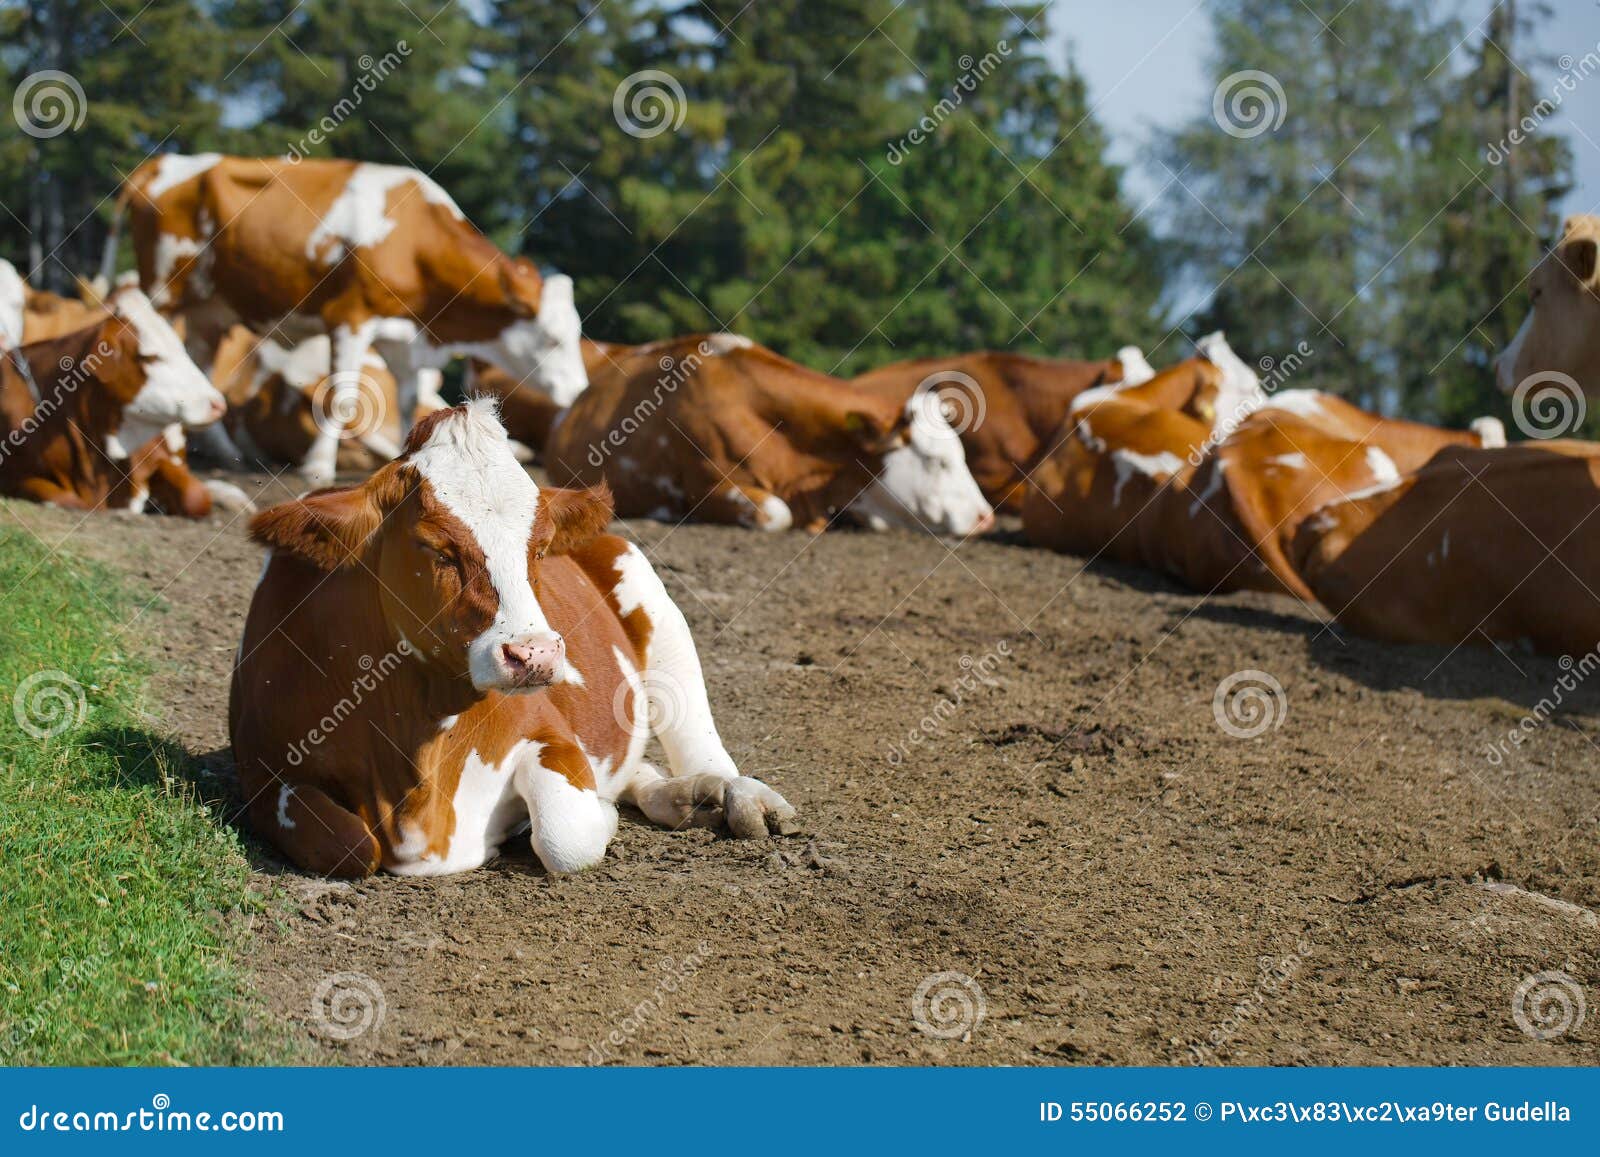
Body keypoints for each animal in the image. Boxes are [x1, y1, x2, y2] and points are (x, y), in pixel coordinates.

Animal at [110, 153, 588, 485]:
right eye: (553, 338)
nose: (581, 391)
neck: (413, 240)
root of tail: (162, 163)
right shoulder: (350, 318)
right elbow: (341, 397)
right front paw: (318, 466)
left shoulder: (404, 338)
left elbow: (411, 402)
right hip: (165, 291)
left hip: (209, 312)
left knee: (201, 367)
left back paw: (220, 451)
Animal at [231, 398, 797, 877]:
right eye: (437, 548)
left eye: (540, 547)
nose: (535, 655)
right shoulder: (264, 777)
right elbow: (348, 846)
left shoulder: (549, 733)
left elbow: (567, 835)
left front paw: (593, 817)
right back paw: (679, 796)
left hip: (652, 598)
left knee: (701, 742)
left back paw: (734, 796)